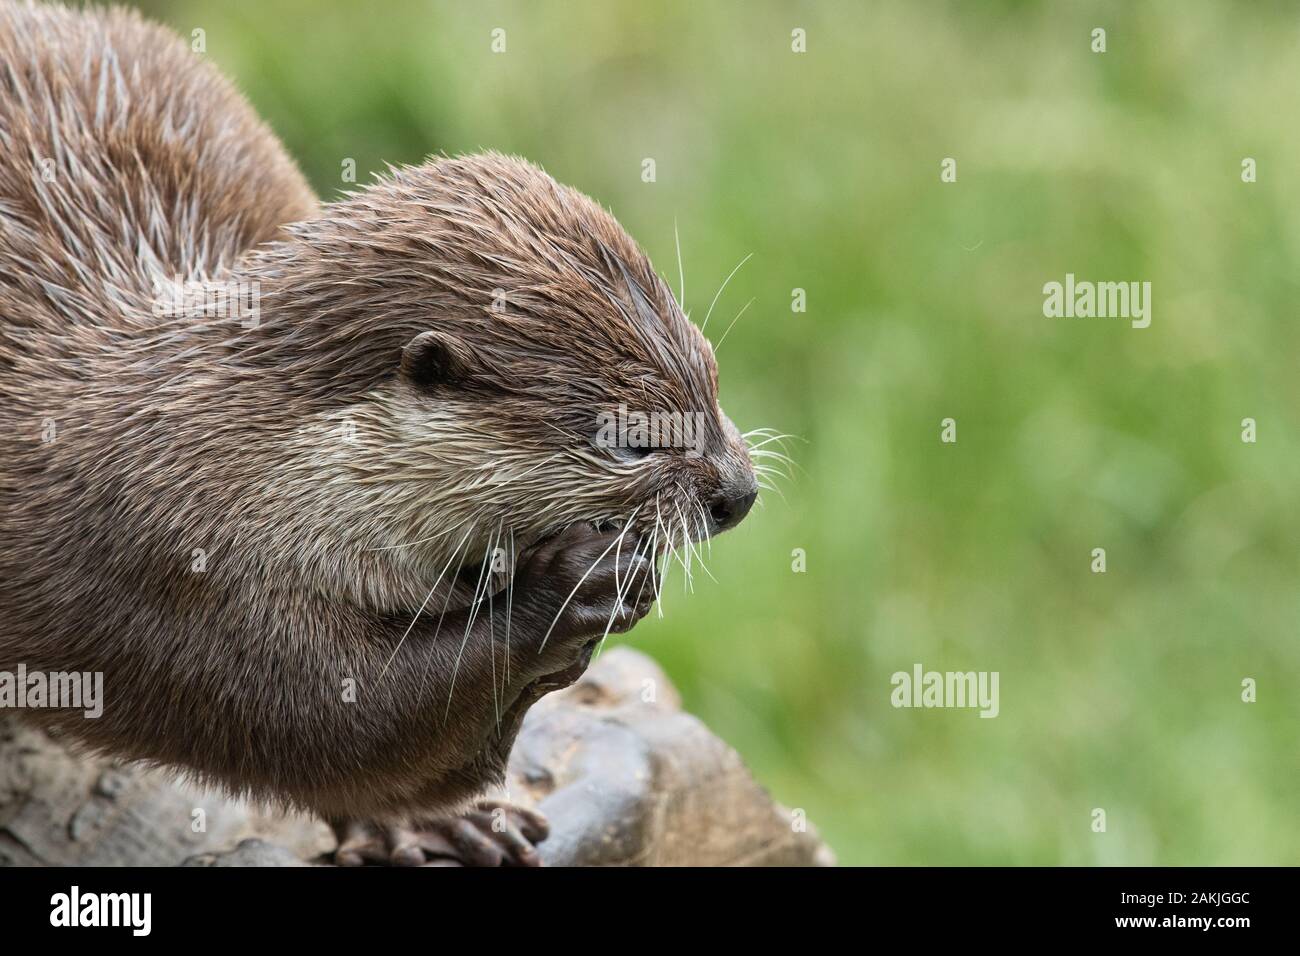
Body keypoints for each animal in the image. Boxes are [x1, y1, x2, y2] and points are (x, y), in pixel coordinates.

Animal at [0, 2, 763, 865]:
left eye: (710, 372)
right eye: (630, 437)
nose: (739, 493)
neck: (243, 463)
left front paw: (430, 821)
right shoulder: (169, 562)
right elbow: (325, 723)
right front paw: (574, 587)